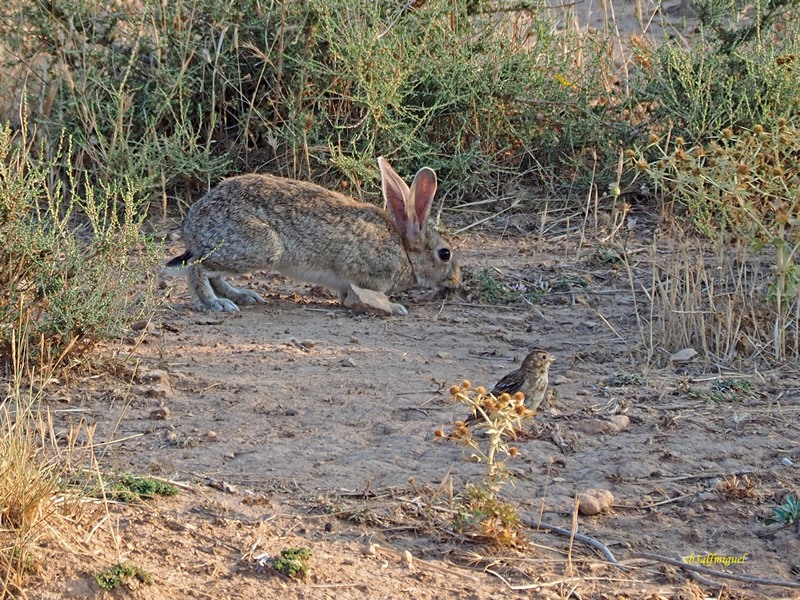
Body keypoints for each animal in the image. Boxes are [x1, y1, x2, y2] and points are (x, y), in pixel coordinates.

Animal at [166, 157, 461, 314]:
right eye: (444, 253)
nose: (456, 280)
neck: (404, 252)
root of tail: (192, 227)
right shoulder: (367, 276)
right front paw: (397, 308)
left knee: (214, 274)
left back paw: (243, 296)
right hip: (259, 247)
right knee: (198, 268)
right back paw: (218, 304)